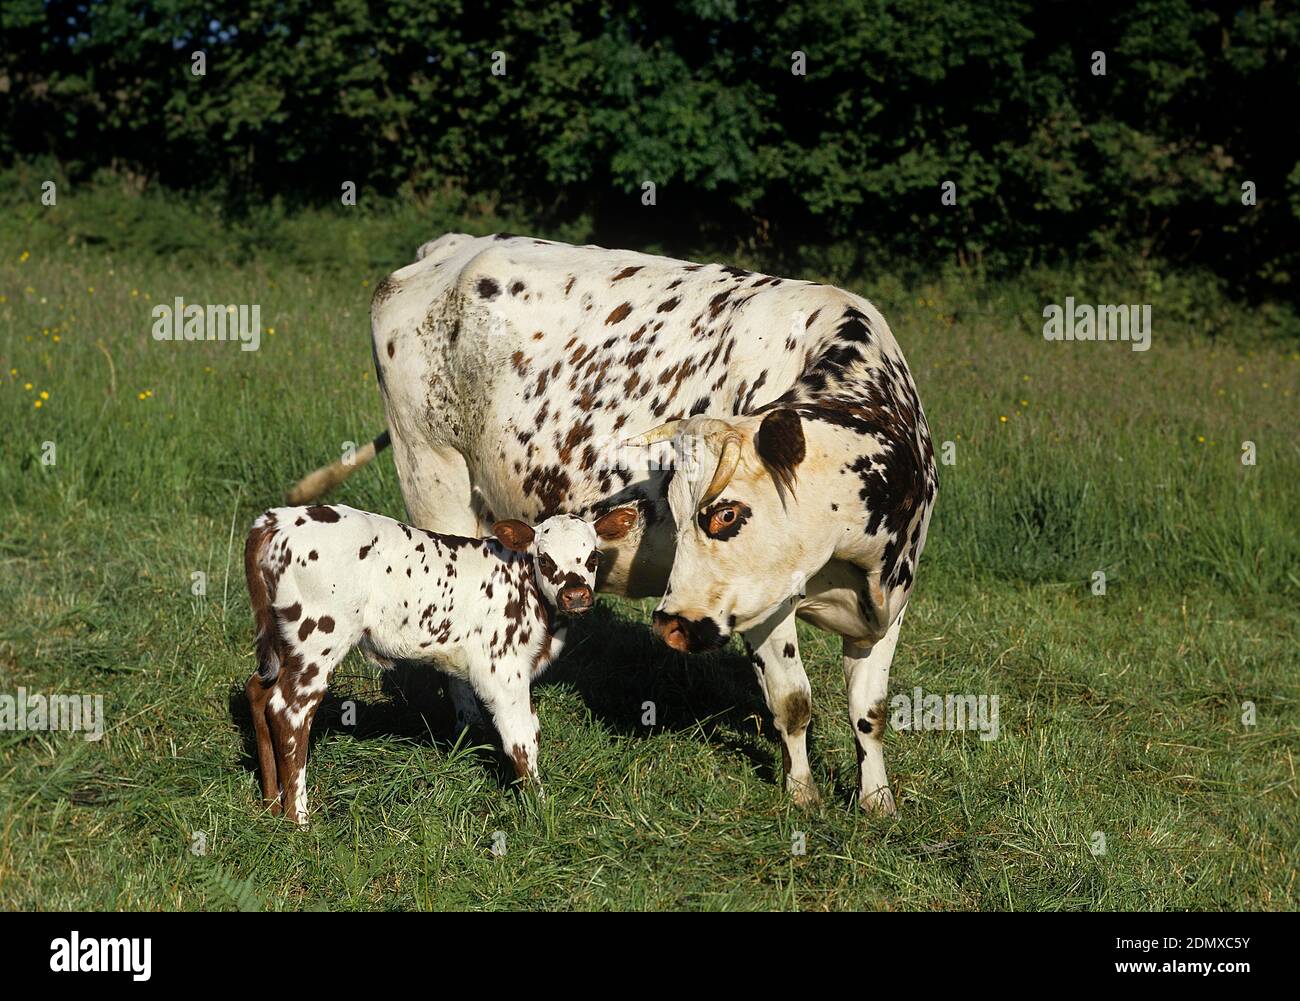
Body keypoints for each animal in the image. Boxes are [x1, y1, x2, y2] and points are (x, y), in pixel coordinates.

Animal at [244, 503, 637, 825]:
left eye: (593, 558)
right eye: (545, 559)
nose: (576, 595)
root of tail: (277, 519)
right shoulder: (503, 671)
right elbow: (522, 739)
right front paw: (540, 810)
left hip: (281, 643)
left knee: (258, 692)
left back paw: (271, 803)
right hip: (319, 640)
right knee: (289, 711)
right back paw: (298, 817)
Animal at [287, 233, 937, 814]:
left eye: (725, 513)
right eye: (678, 510)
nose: (671, 624)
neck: (853, 561)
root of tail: (451, 248)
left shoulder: (892, 599)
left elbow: (870, 713)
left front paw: (878, 804)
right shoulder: (764, 604)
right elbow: (793, 701)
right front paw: (802, 799)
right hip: (432, 479)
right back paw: (472, 725)